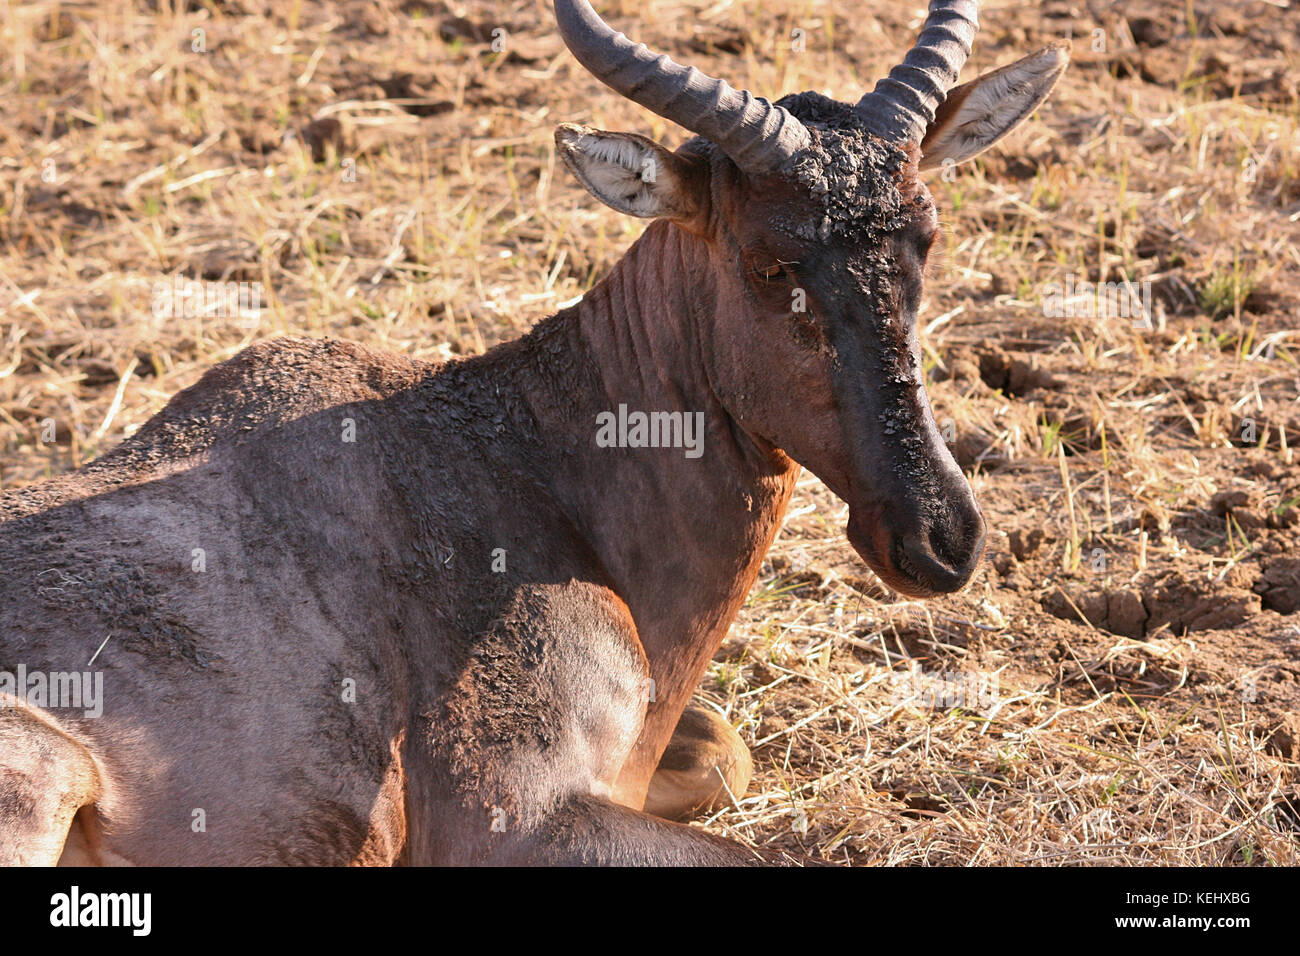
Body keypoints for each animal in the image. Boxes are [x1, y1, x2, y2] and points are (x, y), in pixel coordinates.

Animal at [0, 0, 1066, 865]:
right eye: (770, 264)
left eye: (924, 236)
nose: (940, 537)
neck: (521, 455)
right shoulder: (512, 819)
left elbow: (729, 752)